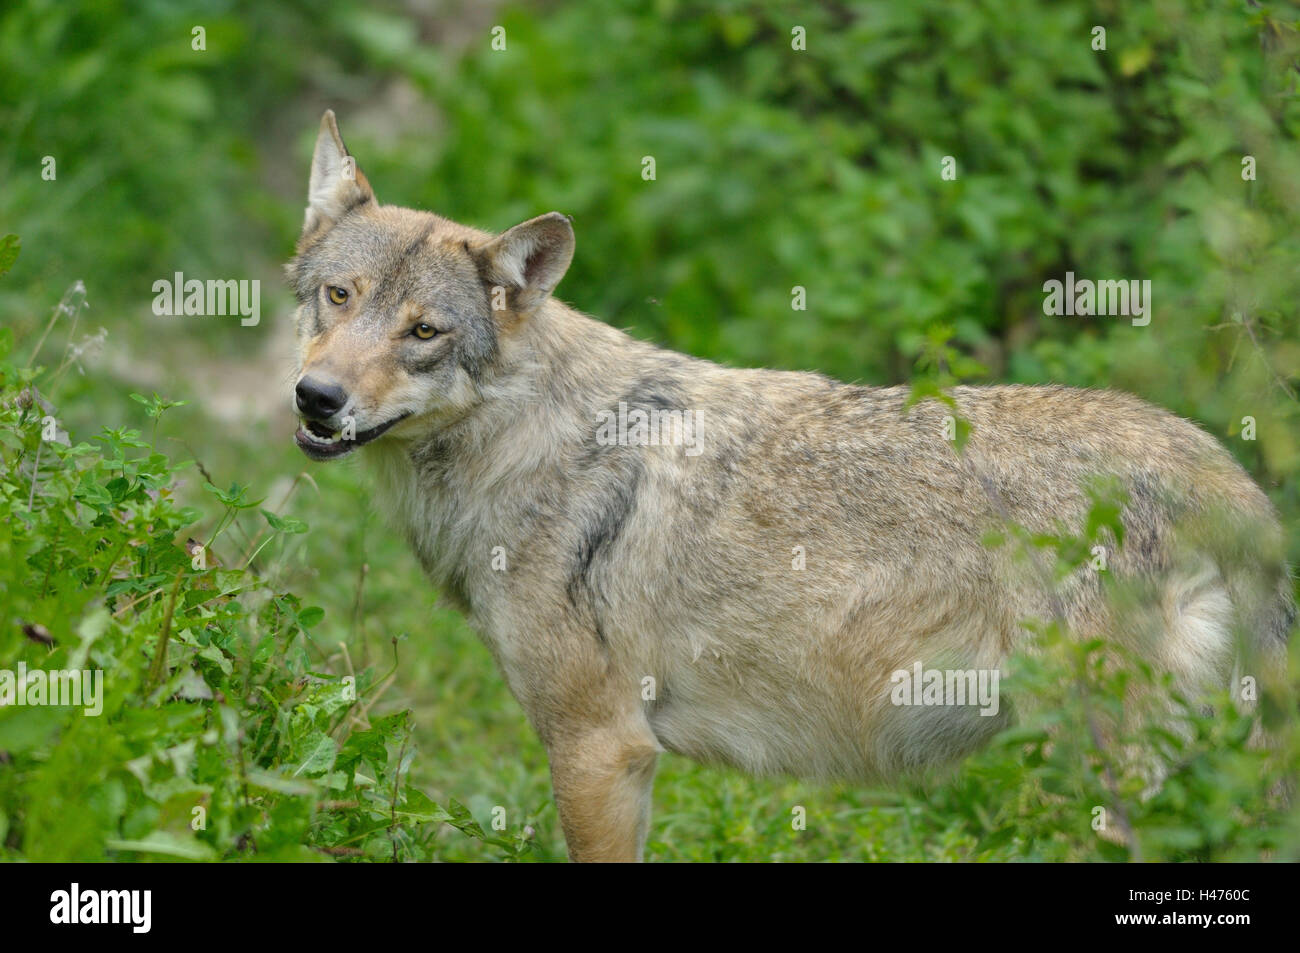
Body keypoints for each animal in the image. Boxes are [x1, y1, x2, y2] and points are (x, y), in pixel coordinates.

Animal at [286, 111, 1293, 861]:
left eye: (423, 332)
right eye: (338, 295)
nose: (316, 397)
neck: (522, 446)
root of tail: (1230, 481)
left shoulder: (600, 749)